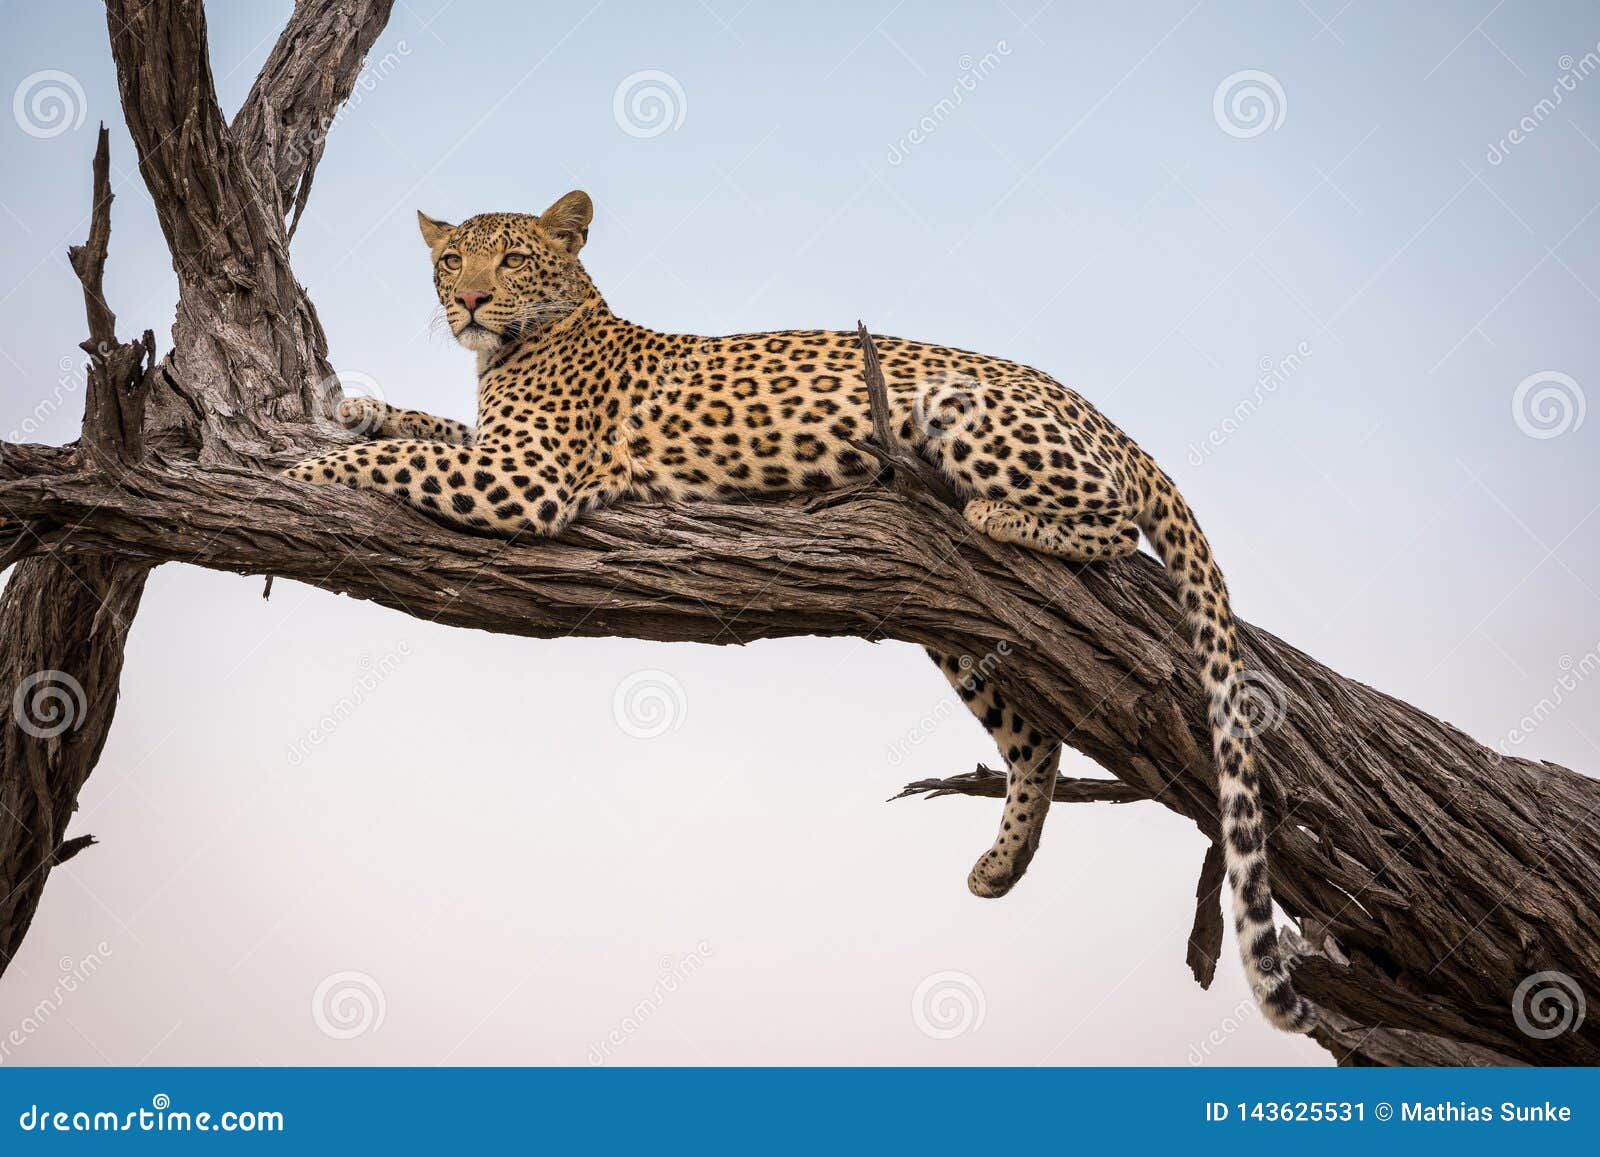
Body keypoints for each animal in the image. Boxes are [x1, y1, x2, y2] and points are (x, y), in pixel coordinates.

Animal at [283, 190, 1315, 1033]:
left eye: (512, 259)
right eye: (453, 258)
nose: (465, 302)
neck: (525, 343)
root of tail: (1100, 412)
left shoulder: (525, 477)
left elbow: (404, 460)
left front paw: (300, 476)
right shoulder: (494, 448)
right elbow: (426, 429)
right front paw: (364, 410)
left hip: (968, 417)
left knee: (1115, 525)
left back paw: (997, 512)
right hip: (955, 629)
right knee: (1037, 738)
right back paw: (1001, 863)